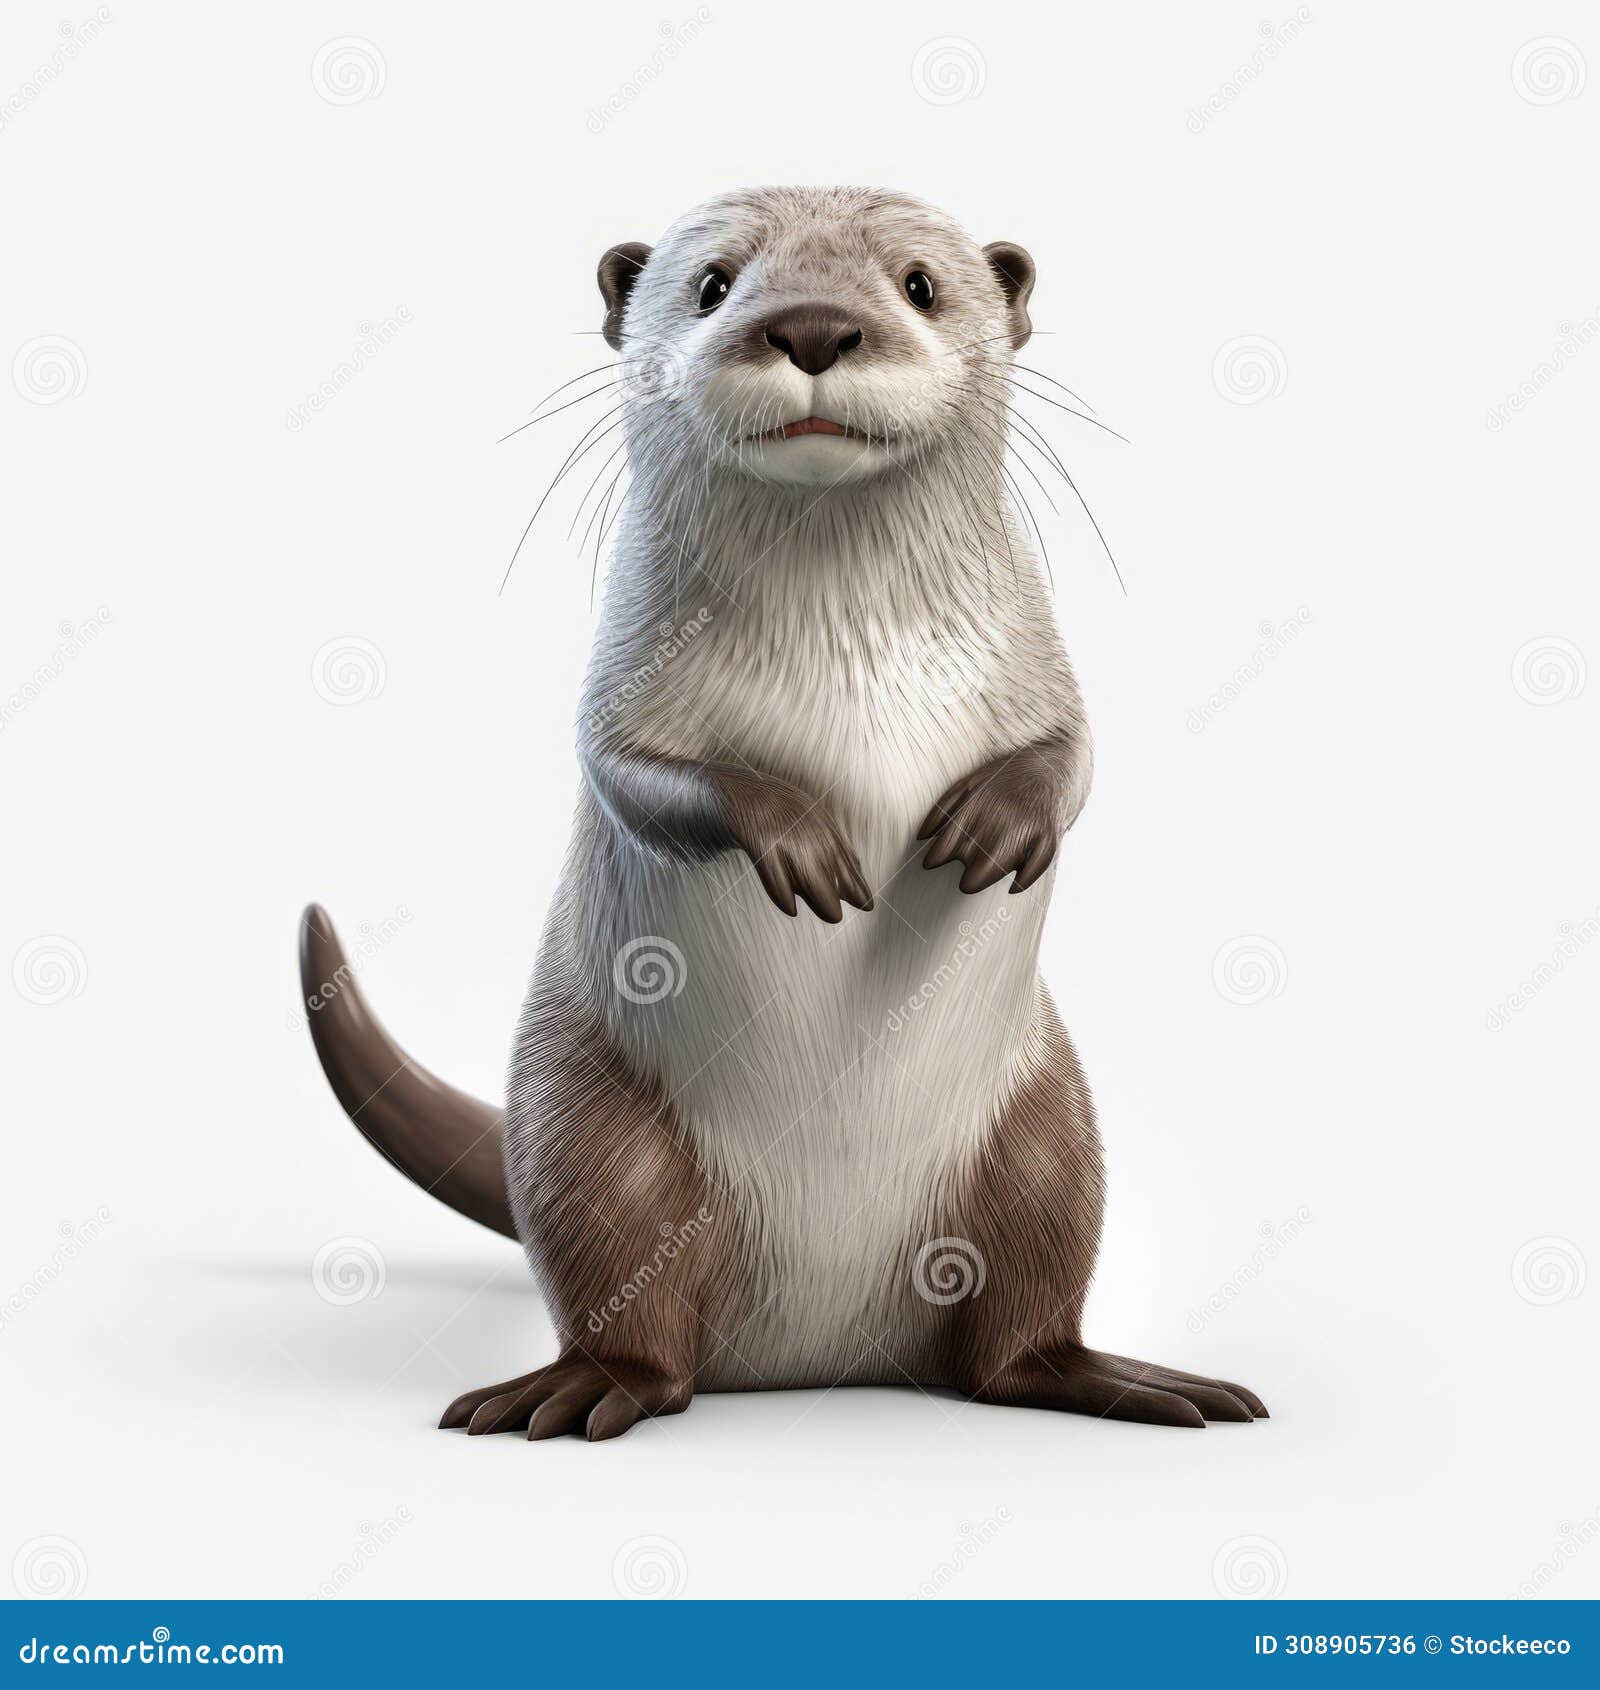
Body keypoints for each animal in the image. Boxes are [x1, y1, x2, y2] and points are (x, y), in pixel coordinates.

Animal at [301, 186, 1266, 1440]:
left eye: (919, 284)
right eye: (713, 283)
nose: (811, 326)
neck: (852, 656)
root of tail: (819, 1348)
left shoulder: (1039, 663)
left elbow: (1077, 754)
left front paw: (993, 822)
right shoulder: (623, 679)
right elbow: (637, 772)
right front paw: (798, 835)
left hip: (1045, 1136)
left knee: (1015, 1328)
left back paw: (1125, 1380)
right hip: (587, 1124)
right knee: (631, 1305)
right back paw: (578, 1387)